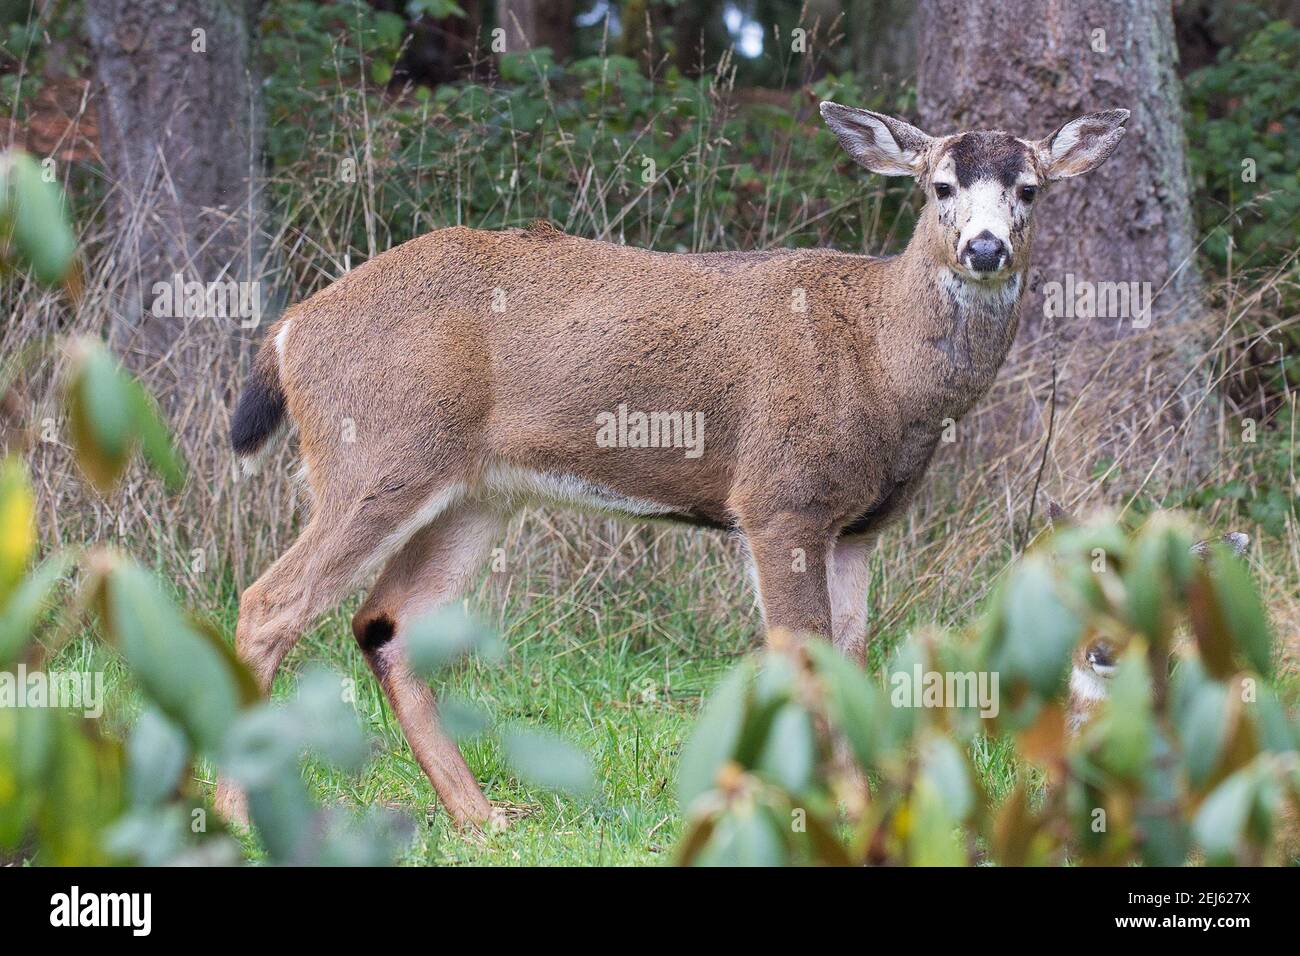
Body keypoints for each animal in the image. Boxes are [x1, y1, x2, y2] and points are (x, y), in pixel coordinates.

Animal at [215, 103, 1130, 829]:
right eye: (939, 186)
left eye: (1030, 188)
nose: (985, 248)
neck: (882, 360)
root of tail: (289, 331)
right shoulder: (778, 497)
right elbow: (802, 658)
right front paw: (838, 809)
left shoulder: (859, 527)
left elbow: (850, 659)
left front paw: (870, 805)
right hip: (376, 453)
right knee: (268, 604)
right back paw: (235, 812)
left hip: (476, 492)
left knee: (386, 623)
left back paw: (483, 818)